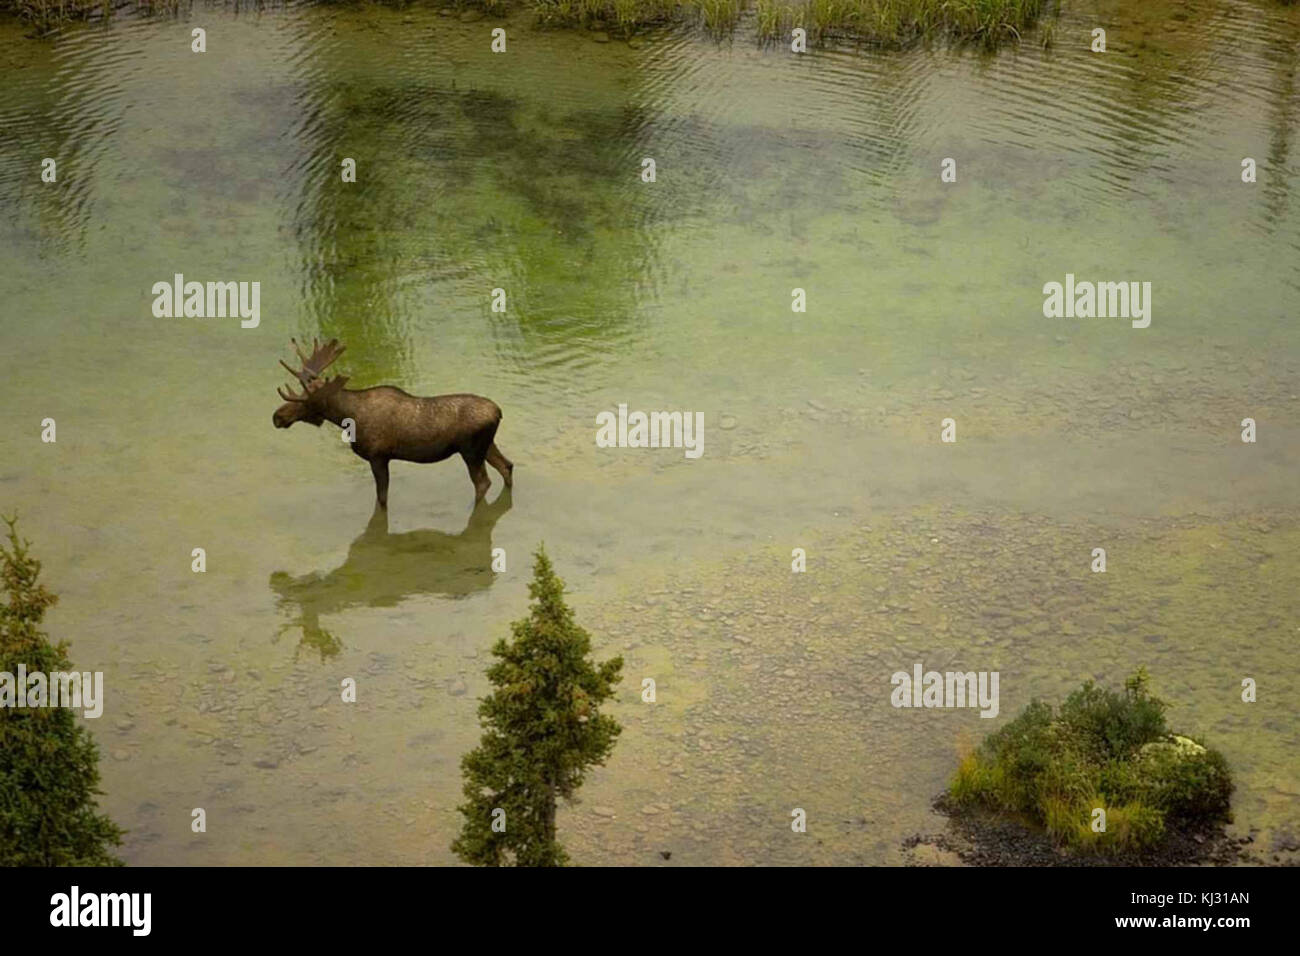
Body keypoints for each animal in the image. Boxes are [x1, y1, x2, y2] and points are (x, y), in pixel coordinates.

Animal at [272, 338, 513, 507]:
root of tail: (499, 412)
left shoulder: (378, 456)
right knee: (507, 466)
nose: (277, 417)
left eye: (306, 402)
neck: (348, 419)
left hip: (471, 450)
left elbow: (382, 499)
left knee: (483, 481)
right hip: (487, 445)